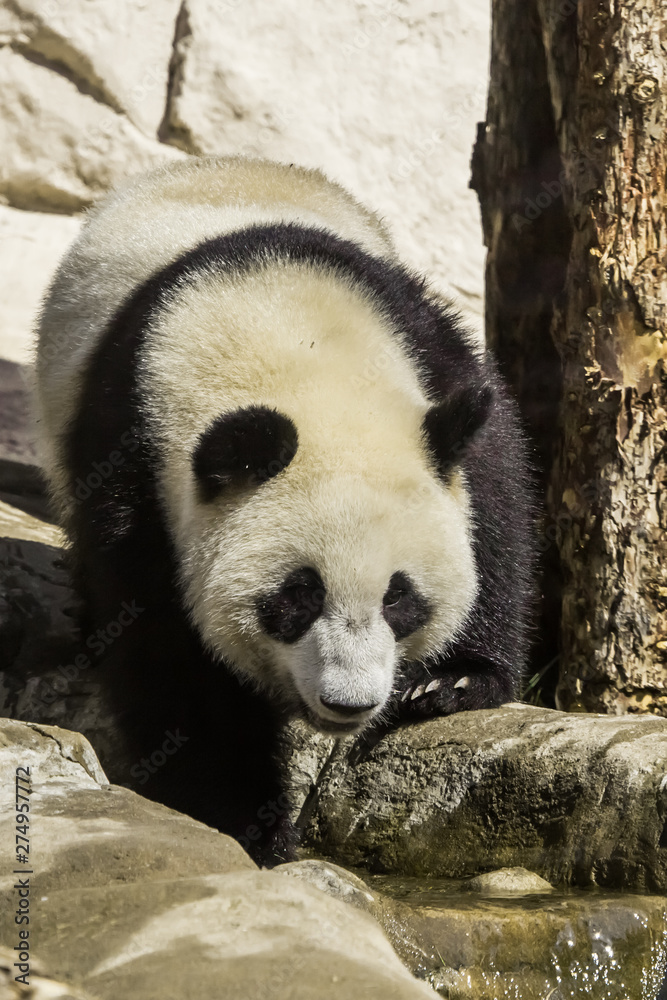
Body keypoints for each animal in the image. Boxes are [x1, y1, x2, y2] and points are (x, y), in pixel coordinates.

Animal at [35, 156, 534, 865]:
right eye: (297, 597)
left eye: (399, 597)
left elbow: (493, 494)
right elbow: (164, 646)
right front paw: (250, 823)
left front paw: (451, 683)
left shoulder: (429, 361)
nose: (349, 703)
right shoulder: (131, 458)